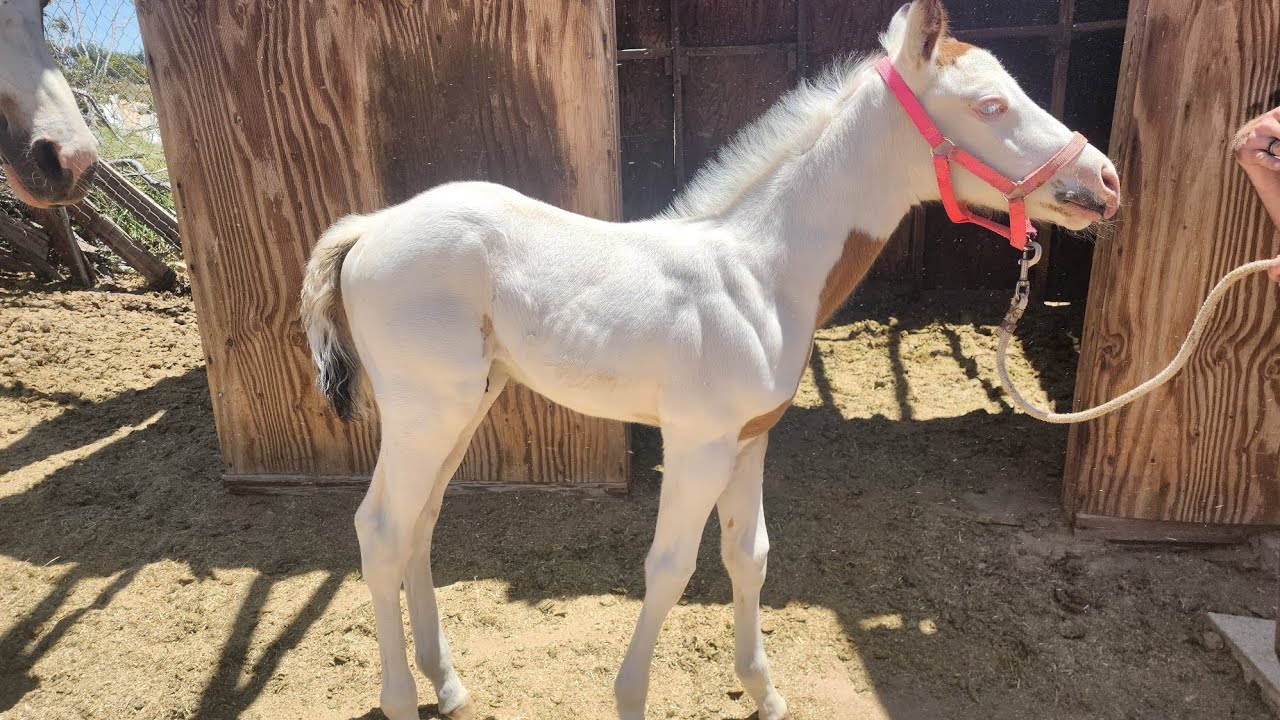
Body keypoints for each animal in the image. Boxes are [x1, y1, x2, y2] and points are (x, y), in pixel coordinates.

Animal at [300, 2, 1120, 718]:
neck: (761, 272)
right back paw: (400, 698)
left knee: (419, 524)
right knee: (382, 529)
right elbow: (669, 568)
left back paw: (448, 684)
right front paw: (632, 699)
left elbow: (748, 555)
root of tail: (369, 230)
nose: (1106, 182)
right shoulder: (697, 444)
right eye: (990, 104)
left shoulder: (750, 439)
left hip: (464, 406)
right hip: (426, 412)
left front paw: (766, 693)